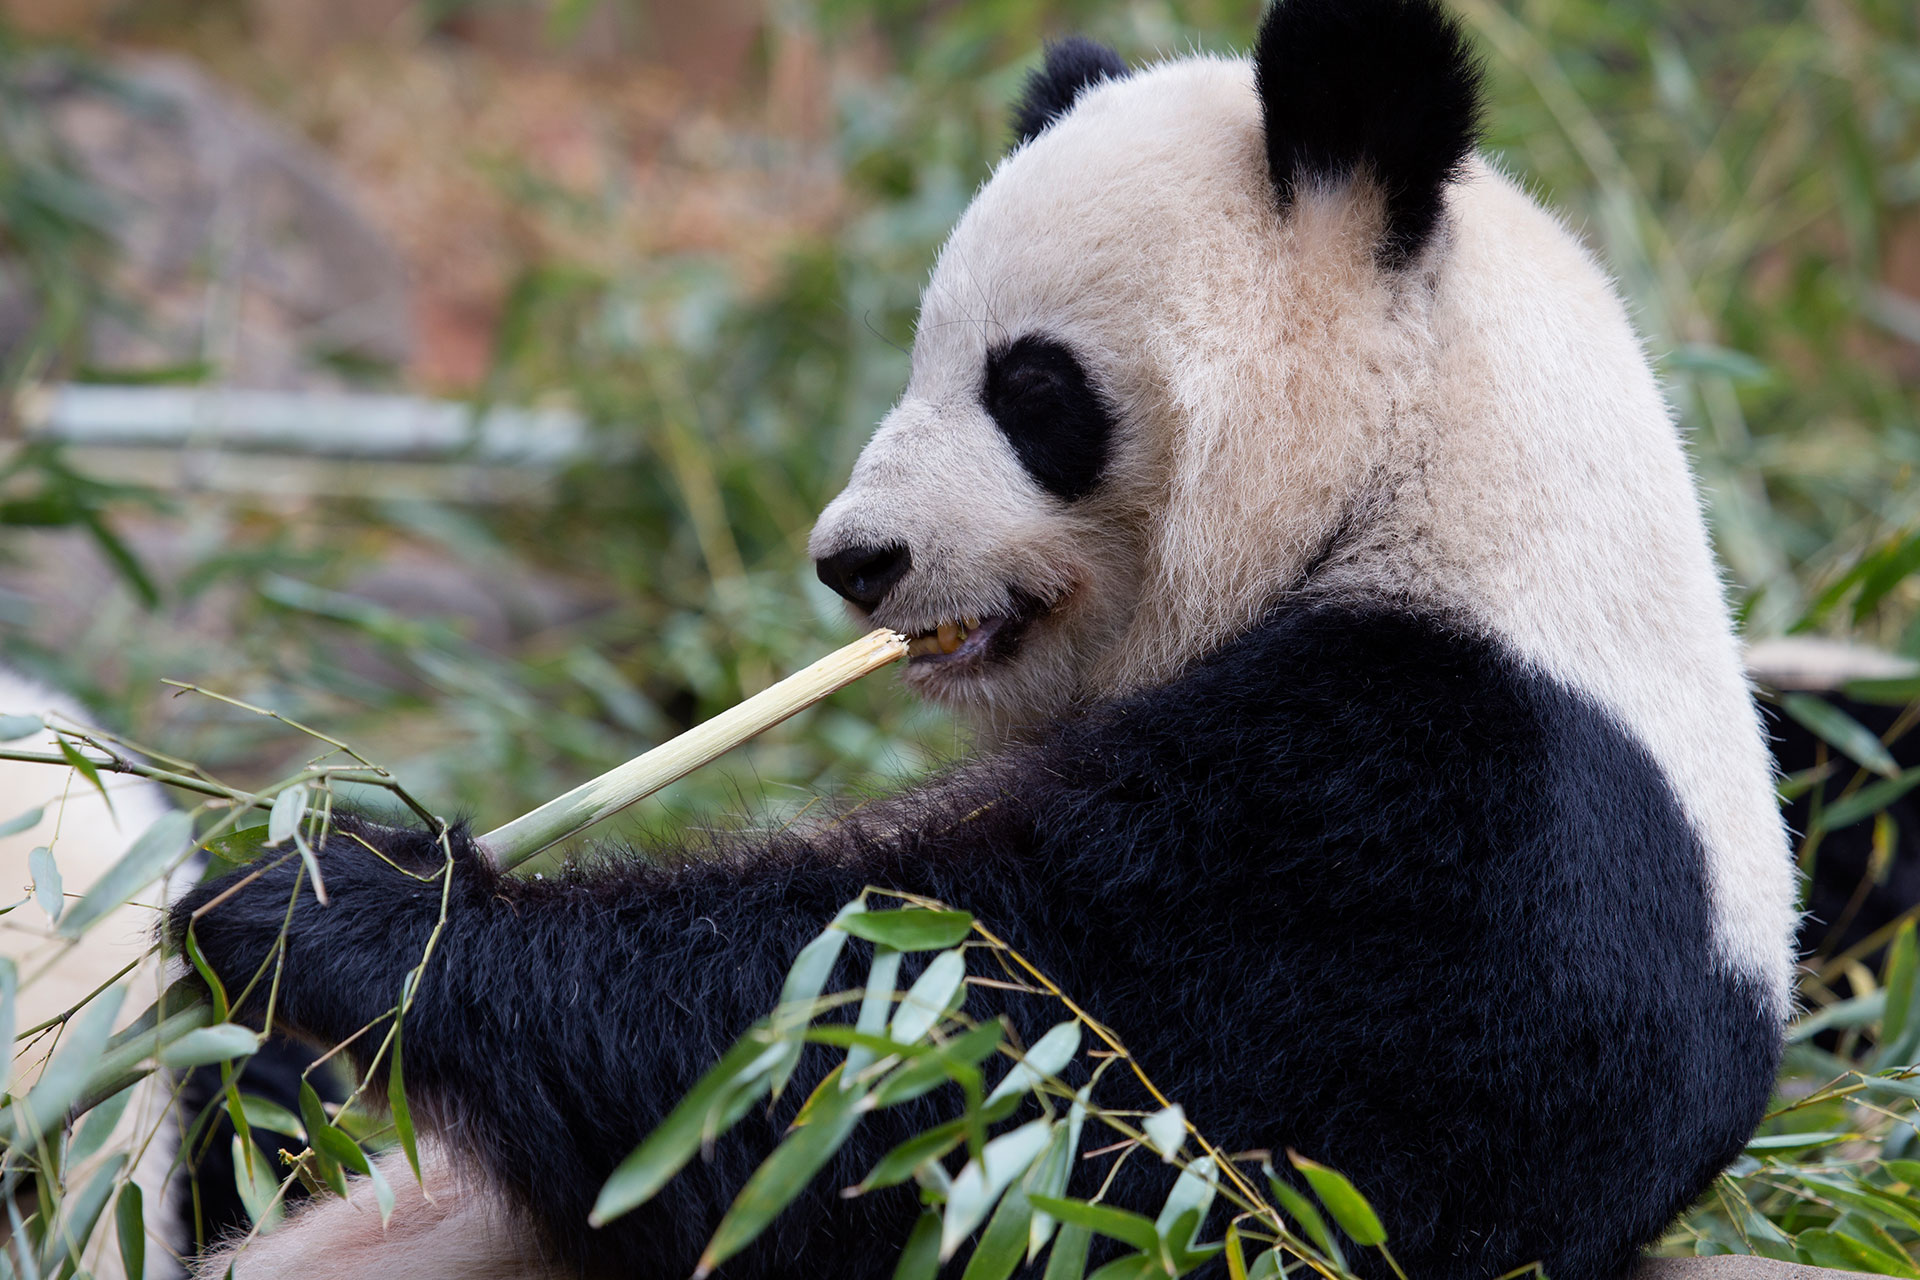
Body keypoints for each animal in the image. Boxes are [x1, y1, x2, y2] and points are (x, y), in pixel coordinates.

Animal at [168, 1, 1799, 1278]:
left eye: (1031, 388)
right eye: (920, 358)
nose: (854, 559)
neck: (1424, 469)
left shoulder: (1451, 827)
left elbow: (961, 1067)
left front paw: (342, 901)